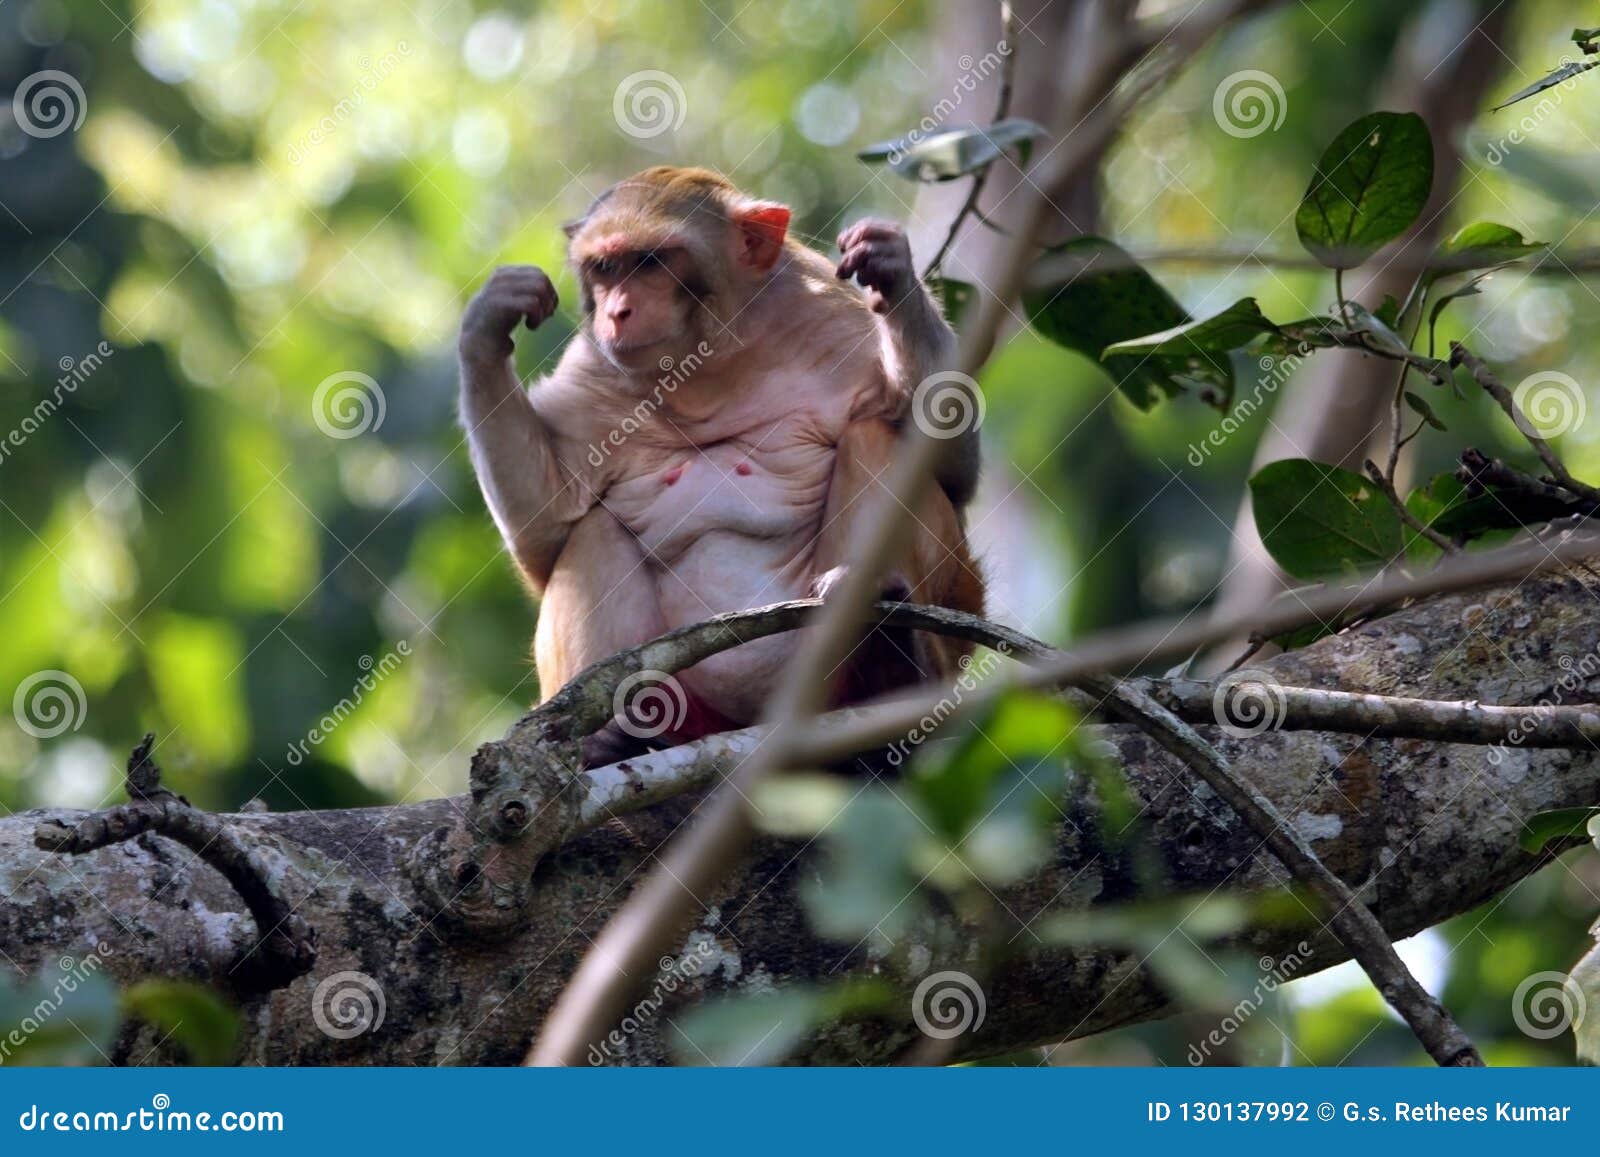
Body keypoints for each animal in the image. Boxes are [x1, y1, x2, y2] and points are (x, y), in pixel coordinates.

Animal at [458, 166, 984, 764]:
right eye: (606, 268)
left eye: (651, 262)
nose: (617, 311)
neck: (711, 362)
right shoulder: (593, 368)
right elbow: (548, 529)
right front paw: (487, 327)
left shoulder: (834, 320)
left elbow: (952, 471)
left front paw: (892, 271)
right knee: (594, 528)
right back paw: (607, 741)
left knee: (877, 439)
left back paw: (895, 666)